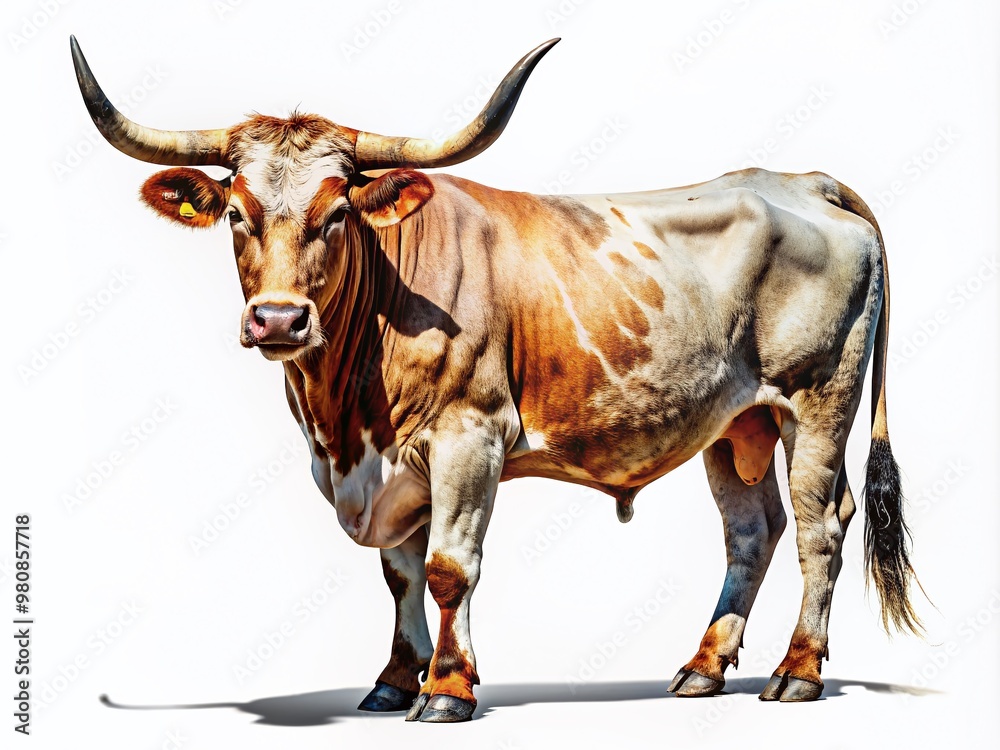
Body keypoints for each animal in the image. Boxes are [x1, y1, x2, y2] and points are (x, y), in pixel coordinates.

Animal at [71, 35, 921, 723]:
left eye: (338, 212)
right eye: (237, 215)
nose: (279, 320)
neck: (343, 424)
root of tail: (800, 181)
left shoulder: (468, 438)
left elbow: (449, 568)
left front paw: (448, 688)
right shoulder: (394, 467)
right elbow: (400, 573)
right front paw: (394, 681)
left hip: (817, 402)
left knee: (819, 526)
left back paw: (798, 672)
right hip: (733, 421)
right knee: (752, 530)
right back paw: (704, 668)